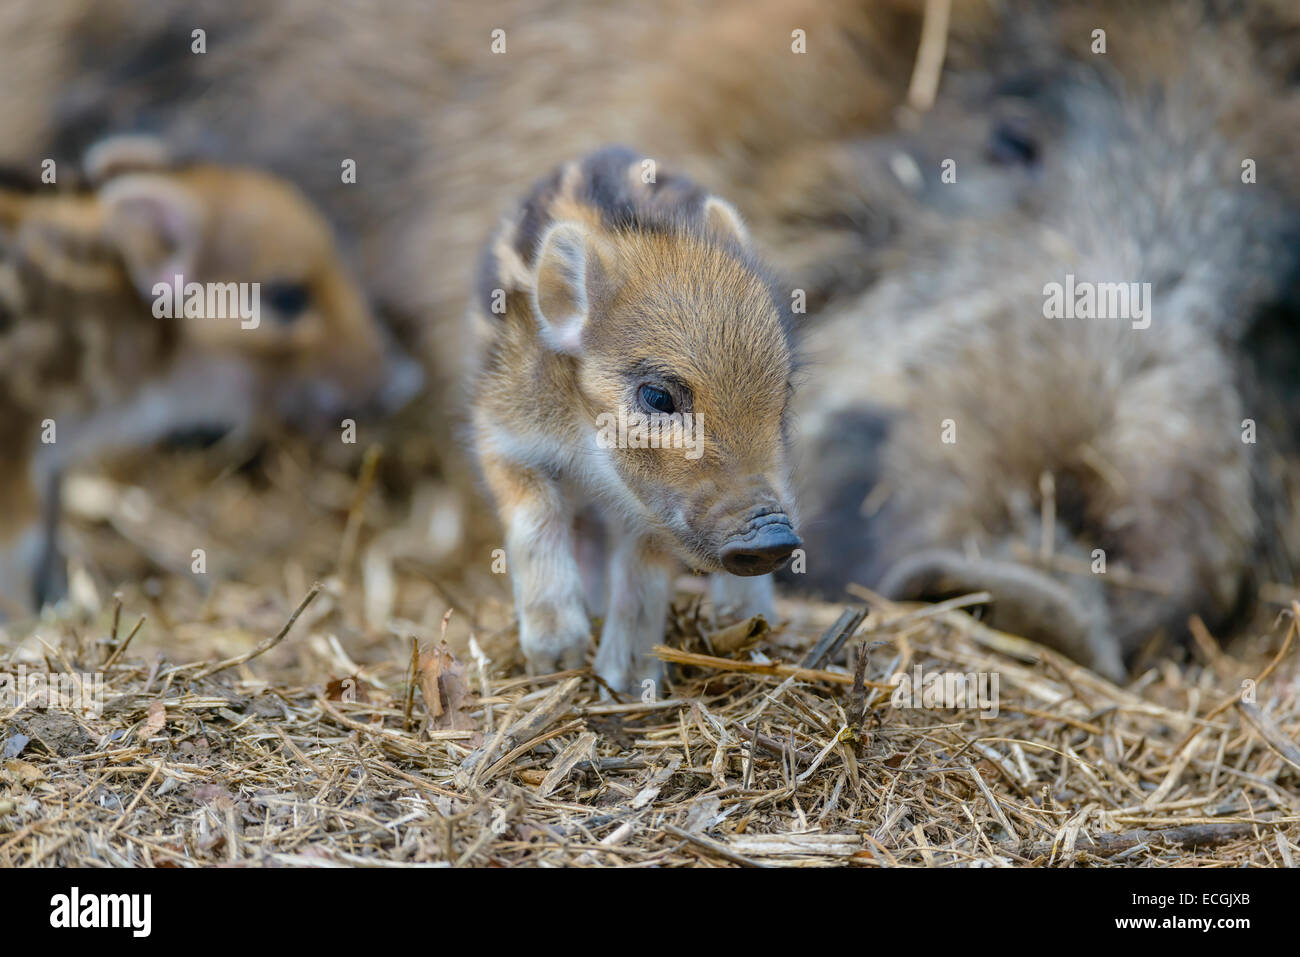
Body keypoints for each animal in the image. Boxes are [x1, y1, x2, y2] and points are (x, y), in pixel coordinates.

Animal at [467, 147, 800, 693]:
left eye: (785, 394)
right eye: (658, 397)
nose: (773, 537)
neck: (585, 437)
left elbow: (644, 567)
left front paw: (627, 681)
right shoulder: (504, 433)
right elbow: (535, 516)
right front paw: (556, 656)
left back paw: (741, 617)